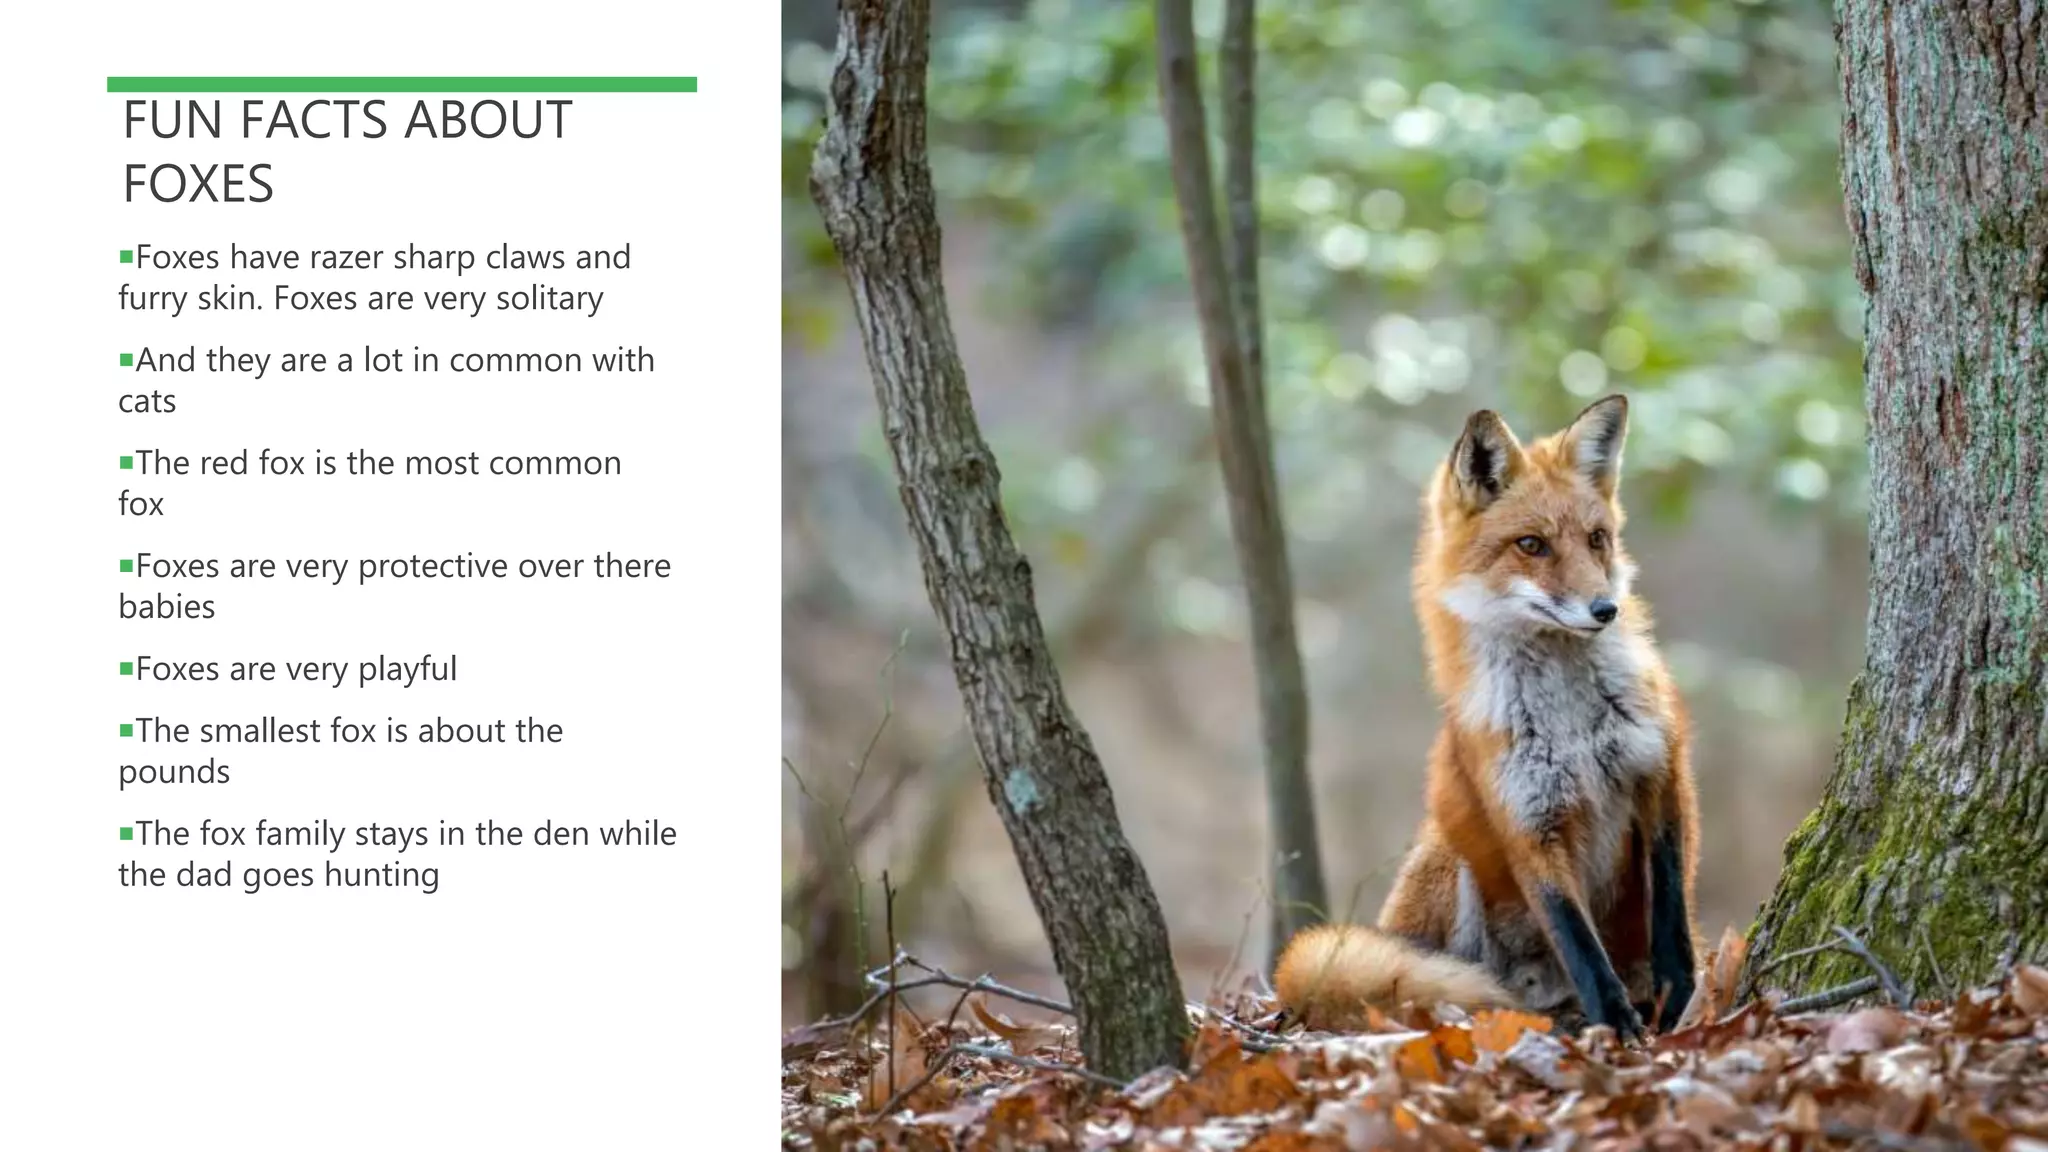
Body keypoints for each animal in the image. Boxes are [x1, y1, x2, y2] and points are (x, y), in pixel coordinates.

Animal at [1275, 395, 1698, 1039]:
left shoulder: (1659, 777)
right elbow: (1579, 941)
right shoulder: (1527, 821)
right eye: (1532, 545)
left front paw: (1673, 995)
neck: (1572, 723)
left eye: (1597, 539)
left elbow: (1672, 911)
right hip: (1453, 859)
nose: (1605, 608)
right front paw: (1618, 1024)